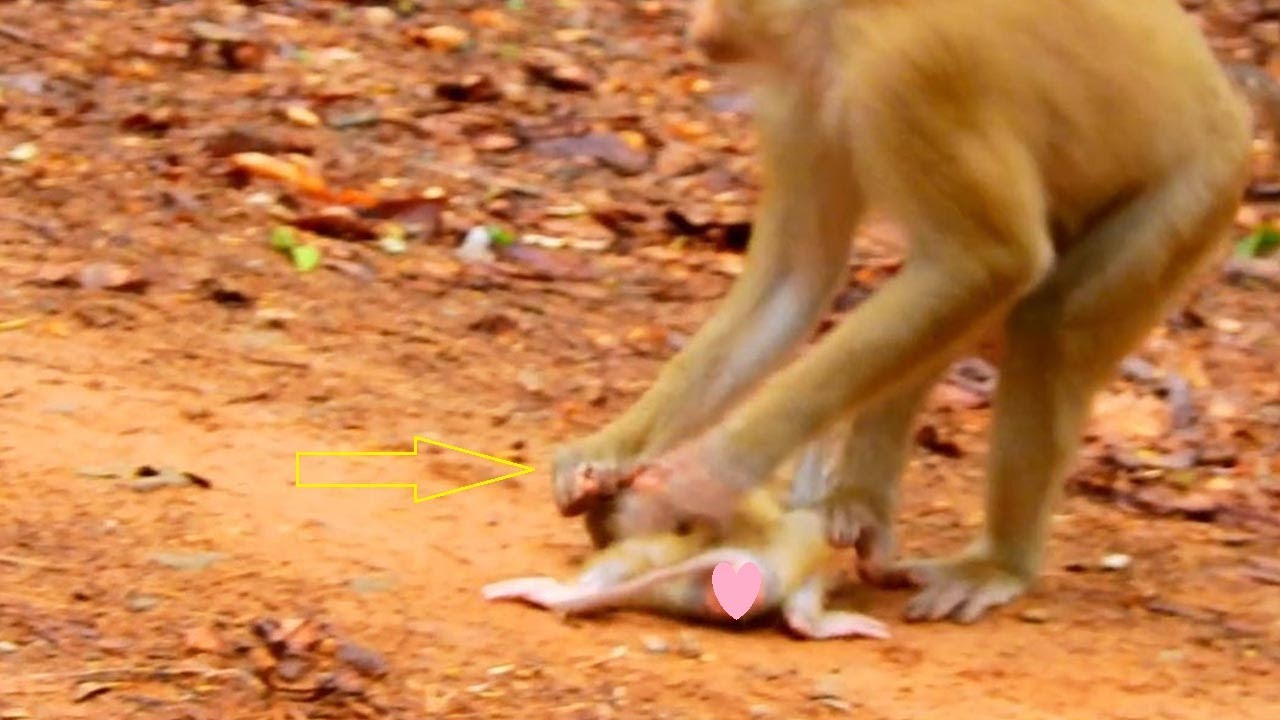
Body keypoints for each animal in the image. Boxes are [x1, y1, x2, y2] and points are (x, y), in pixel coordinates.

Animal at [552, 0, 1254, 624]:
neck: (835, 18)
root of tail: (1232, 109)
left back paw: (999, 564)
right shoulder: (803, 91)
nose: (698, 19)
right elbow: (795, 279)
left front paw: (704, 478)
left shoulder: (911, 73)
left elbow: (989, 260)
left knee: (1045, 319)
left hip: (1196, 189)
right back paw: (859, 506)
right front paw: (608, 453)